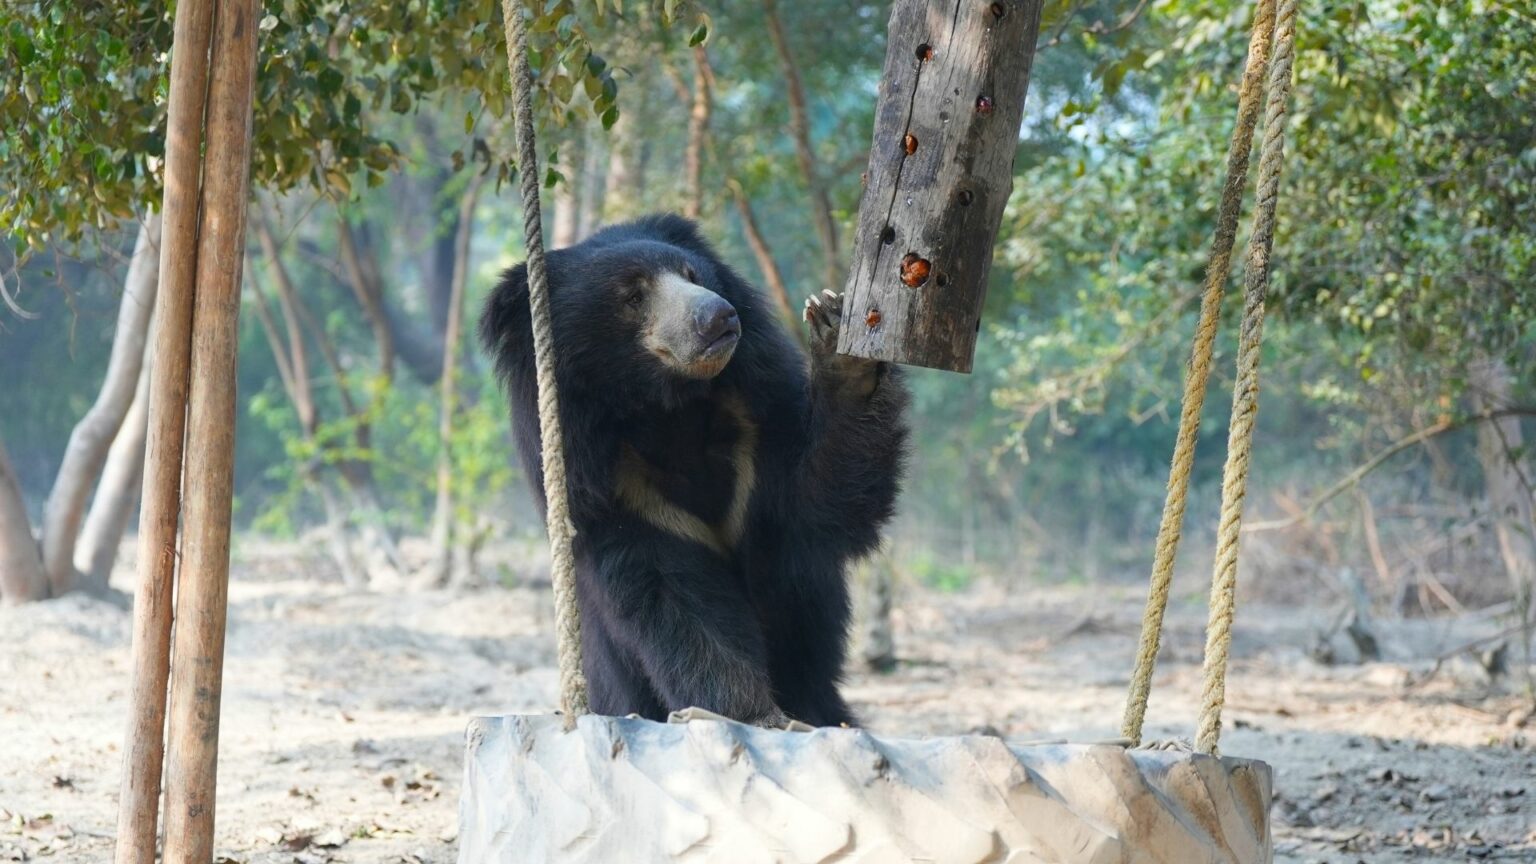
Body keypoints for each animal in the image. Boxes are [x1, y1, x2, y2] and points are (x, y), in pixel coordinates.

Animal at [480, 214, 908, 727]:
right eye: (633, 296)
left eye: (692, 274)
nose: (719, 316)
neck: (668, 406)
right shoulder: (614, 489)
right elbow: (674, 600)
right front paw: (751, 715)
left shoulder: (757, 438)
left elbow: (818, 505)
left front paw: (846, 352)